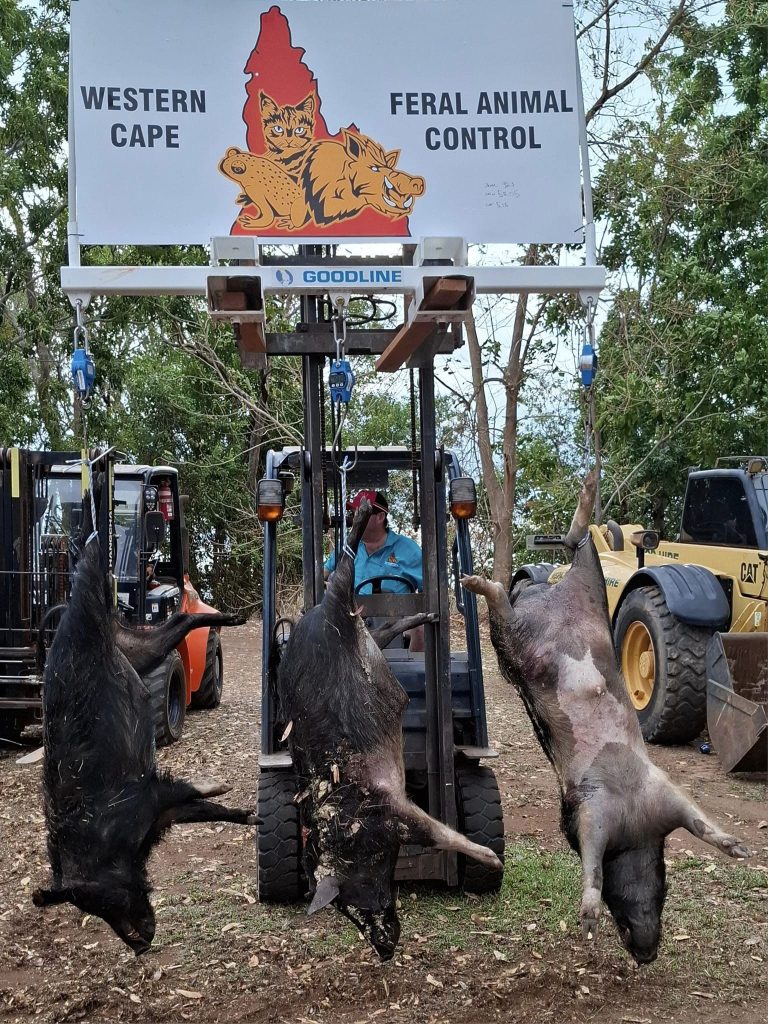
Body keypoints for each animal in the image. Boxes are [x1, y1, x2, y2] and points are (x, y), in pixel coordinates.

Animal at [33, 493, 254, 954]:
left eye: (102, 898)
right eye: (91, 909)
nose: (139, 947)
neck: (104, 841)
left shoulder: (150, 797)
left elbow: (196, 795)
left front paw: (232, 794)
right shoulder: (160, 814)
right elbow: (205, 811)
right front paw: (248, 815)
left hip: (132, 635)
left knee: (176, 613)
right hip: (138, 649)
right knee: (179, 622)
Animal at [275, 498, 502, 960]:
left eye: (348, 895)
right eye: (344, 910)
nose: (383, 951)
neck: (347, 820)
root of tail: (316, 611)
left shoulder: (391, 810)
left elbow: (441, 833)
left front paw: (494, 860)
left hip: (344, 596)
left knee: (346, 562)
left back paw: (363, 513)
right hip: (369, 637)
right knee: (385, 626)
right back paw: (426, 613)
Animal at [461, 471, 750, 965]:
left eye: (664, 897)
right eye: (620, 917)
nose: (646, 953)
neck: (633, 826)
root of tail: (546, 594)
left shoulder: (663, 790)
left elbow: (699, 822)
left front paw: (739, 848)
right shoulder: (588, 812)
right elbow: (593, 864)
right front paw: (588, 919)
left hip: (591, 588)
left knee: (577, 546)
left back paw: (589, 489)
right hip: (515, 643)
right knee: (503, 600)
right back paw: (473, 580)